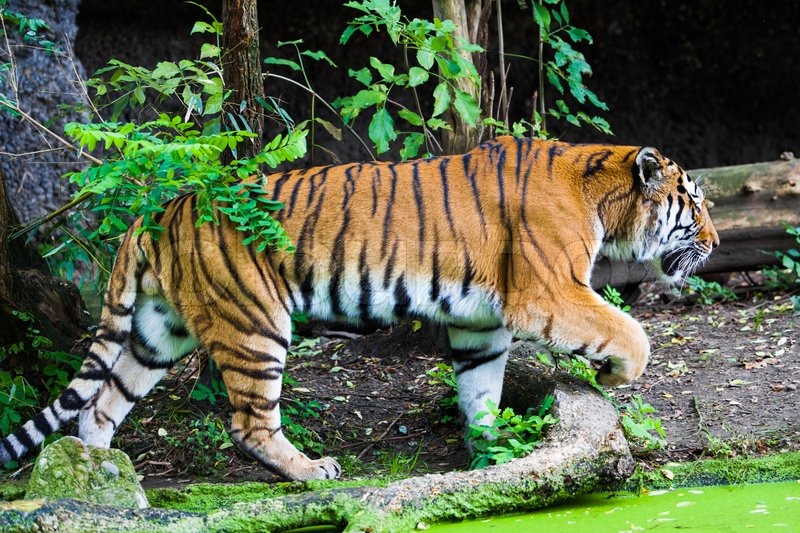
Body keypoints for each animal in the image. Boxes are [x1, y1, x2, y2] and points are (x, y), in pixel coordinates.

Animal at [0, 136, 718, 480]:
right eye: (696, 202)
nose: (713, 242)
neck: (601, 197)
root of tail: (161, 210)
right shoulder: (548, 291)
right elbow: (629, 331)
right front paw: (613, 374)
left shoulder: (479, 322)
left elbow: (480, 392)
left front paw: (494, 456)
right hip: (255, 323)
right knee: (248, 423)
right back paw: (312, 470)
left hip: (159, 332)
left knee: (98, 405)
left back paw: (99, 475)